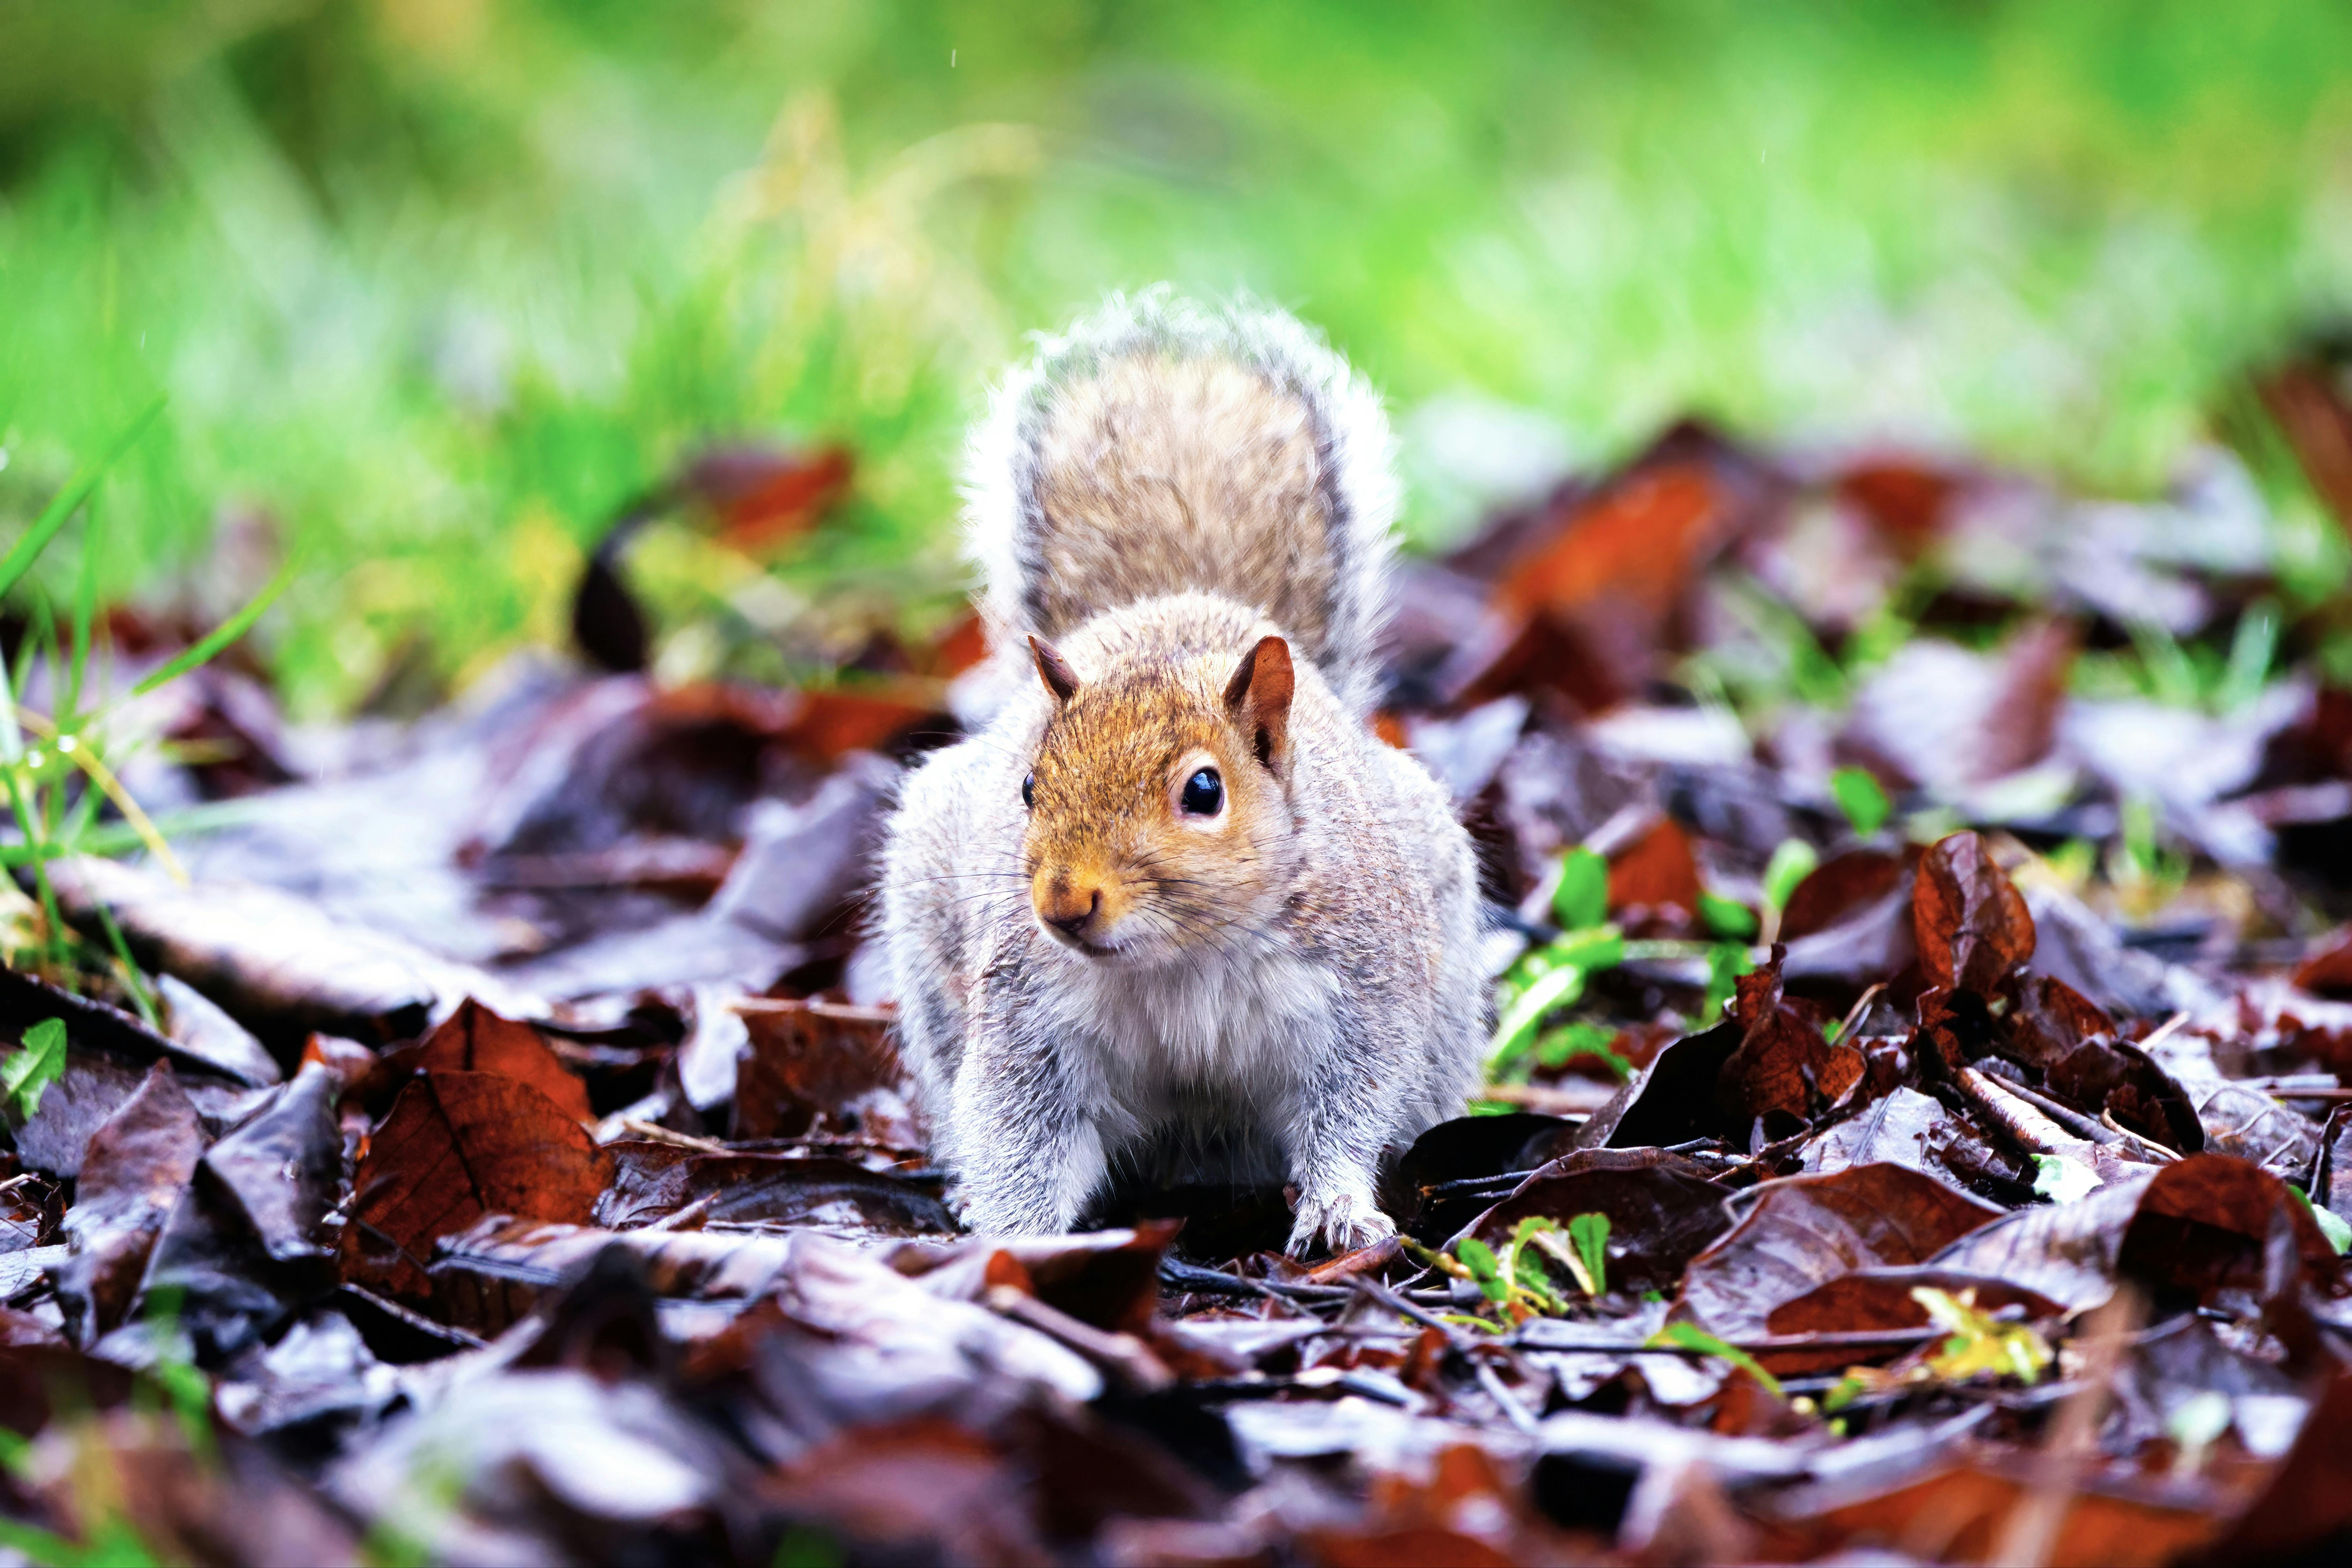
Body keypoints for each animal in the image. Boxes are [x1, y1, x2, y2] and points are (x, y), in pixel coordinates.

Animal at [879, 292, 1488, 1254]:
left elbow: (1352, 1101)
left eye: (1205, 790)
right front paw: (1011, 1236)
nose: (1063, 901)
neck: (1181, 959)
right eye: (1028, 788)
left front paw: (1339, 1203)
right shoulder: (1028, 1016)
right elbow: (1019, 1129)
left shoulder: (1363, 988)